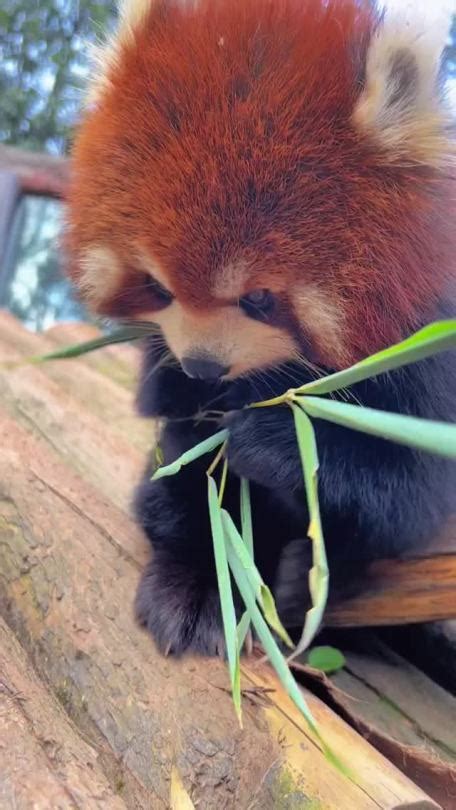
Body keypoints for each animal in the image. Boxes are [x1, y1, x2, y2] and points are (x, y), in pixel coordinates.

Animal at [66, 0, 456, 655]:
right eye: (158, 288)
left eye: (260, 298)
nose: (202, 366)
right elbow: (177, 428)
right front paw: (188, 398)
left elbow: (407, 489)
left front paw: (274, 440)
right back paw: (205, 580)